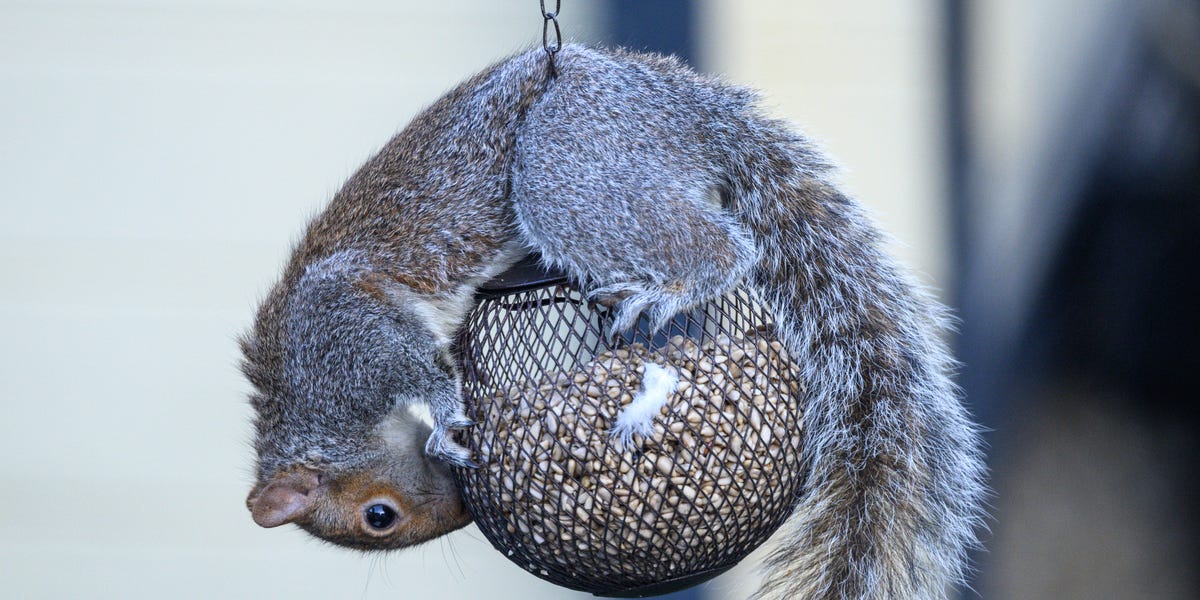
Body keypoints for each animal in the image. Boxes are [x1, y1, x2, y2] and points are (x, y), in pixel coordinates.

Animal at [241, 45, 985, 598]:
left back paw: (672, 288)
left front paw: (449, 418)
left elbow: (417, 366)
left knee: (726, 250)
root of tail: (692, 105)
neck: (311, 403)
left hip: (568, 163)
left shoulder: (343, 327)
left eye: (378, 517)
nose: (460, 514)